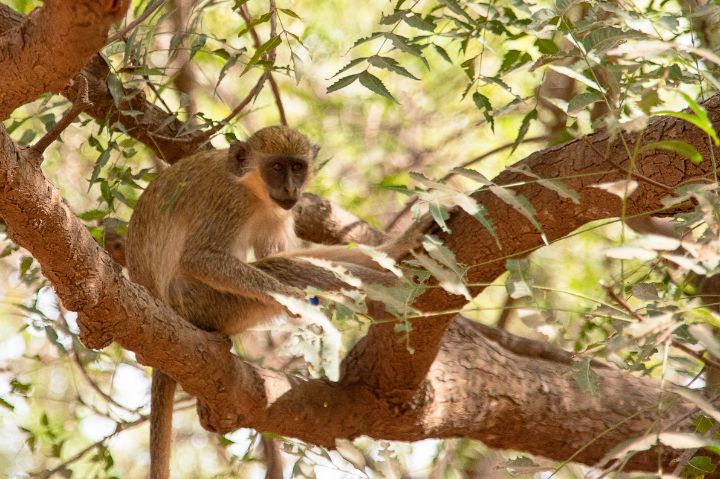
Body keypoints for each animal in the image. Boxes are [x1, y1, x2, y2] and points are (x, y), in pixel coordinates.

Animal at [125, 125, 418, 479]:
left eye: (298, 167)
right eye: (277, 167)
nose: (291, 188)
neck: (253, 189)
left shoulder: (279, 211)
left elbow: (280, 252)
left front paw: (400, 244)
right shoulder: (230, 202)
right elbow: (201, 258)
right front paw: (295, 300)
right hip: (202, 304)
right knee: (281, 268)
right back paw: (388, 285)